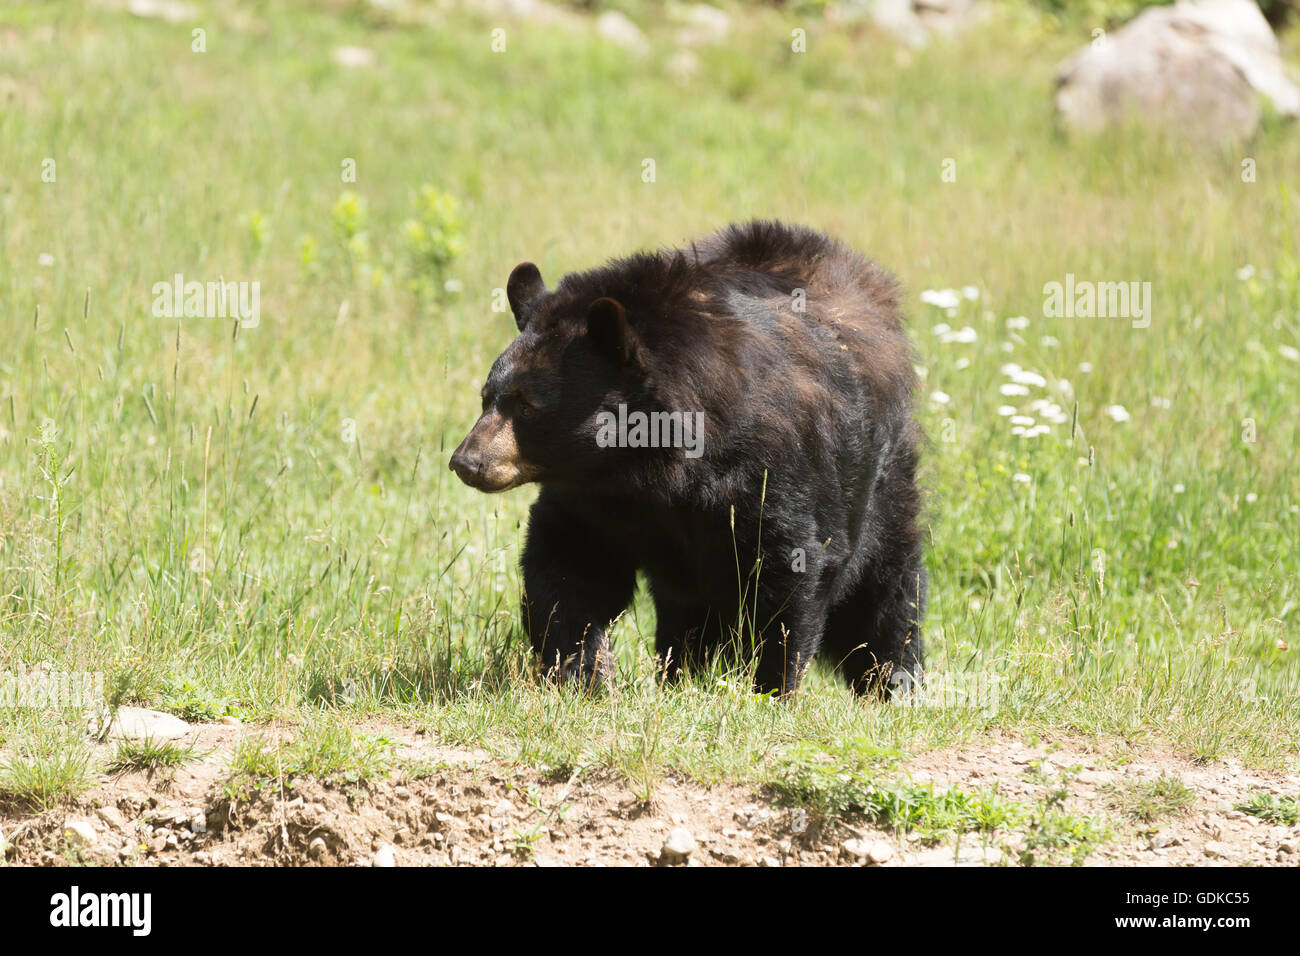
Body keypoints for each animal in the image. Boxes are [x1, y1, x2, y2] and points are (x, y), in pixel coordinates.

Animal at [450, 221, 926, 698]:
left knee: (887, 585)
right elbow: (570, 565)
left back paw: (895, 682)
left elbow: (789, 569)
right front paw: (583, 672)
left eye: (528, 406)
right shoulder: (595, 497)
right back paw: (681, 672)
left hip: (882, 478)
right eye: (487, 397)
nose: (465, 461)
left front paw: (771, 687)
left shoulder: (775, 471)